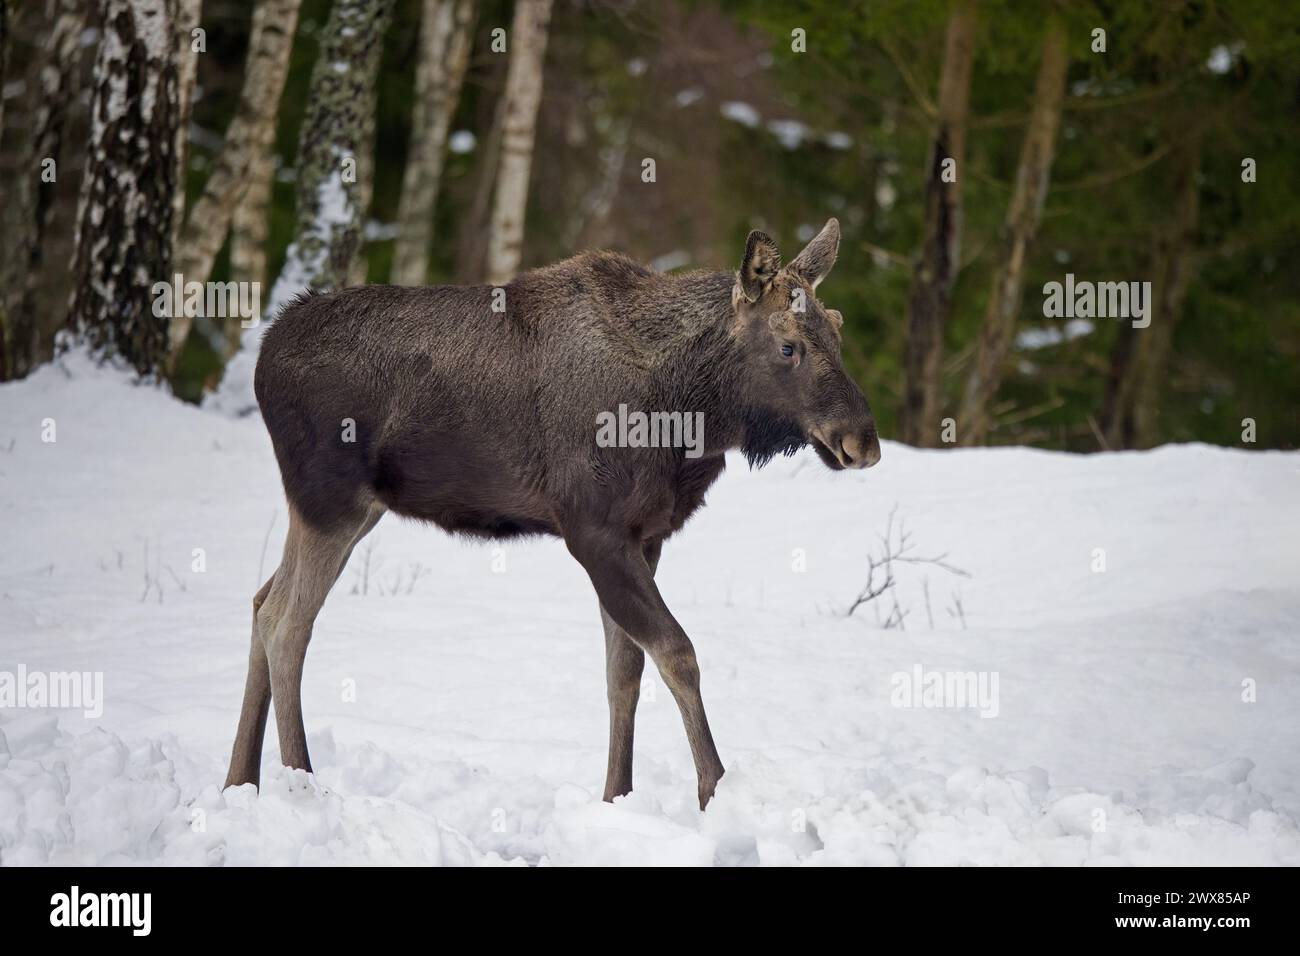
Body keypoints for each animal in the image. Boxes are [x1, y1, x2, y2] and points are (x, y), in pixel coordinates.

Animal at [224, 218, 881, 810]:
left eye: (839, 330)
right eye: (789, 344)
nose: (863, 443)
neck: (684, 412)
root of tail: (263, 359)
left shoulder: (645, 536)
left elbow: (625, 670)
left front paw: (618, 798)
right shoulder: (593, 530)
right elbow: (677, 653)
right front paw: (713, 791)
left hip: (355, 511)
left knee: (260, 602)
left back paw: (240, 783)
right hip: (330, 500)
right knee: (286, 622)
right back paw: (302, 785)